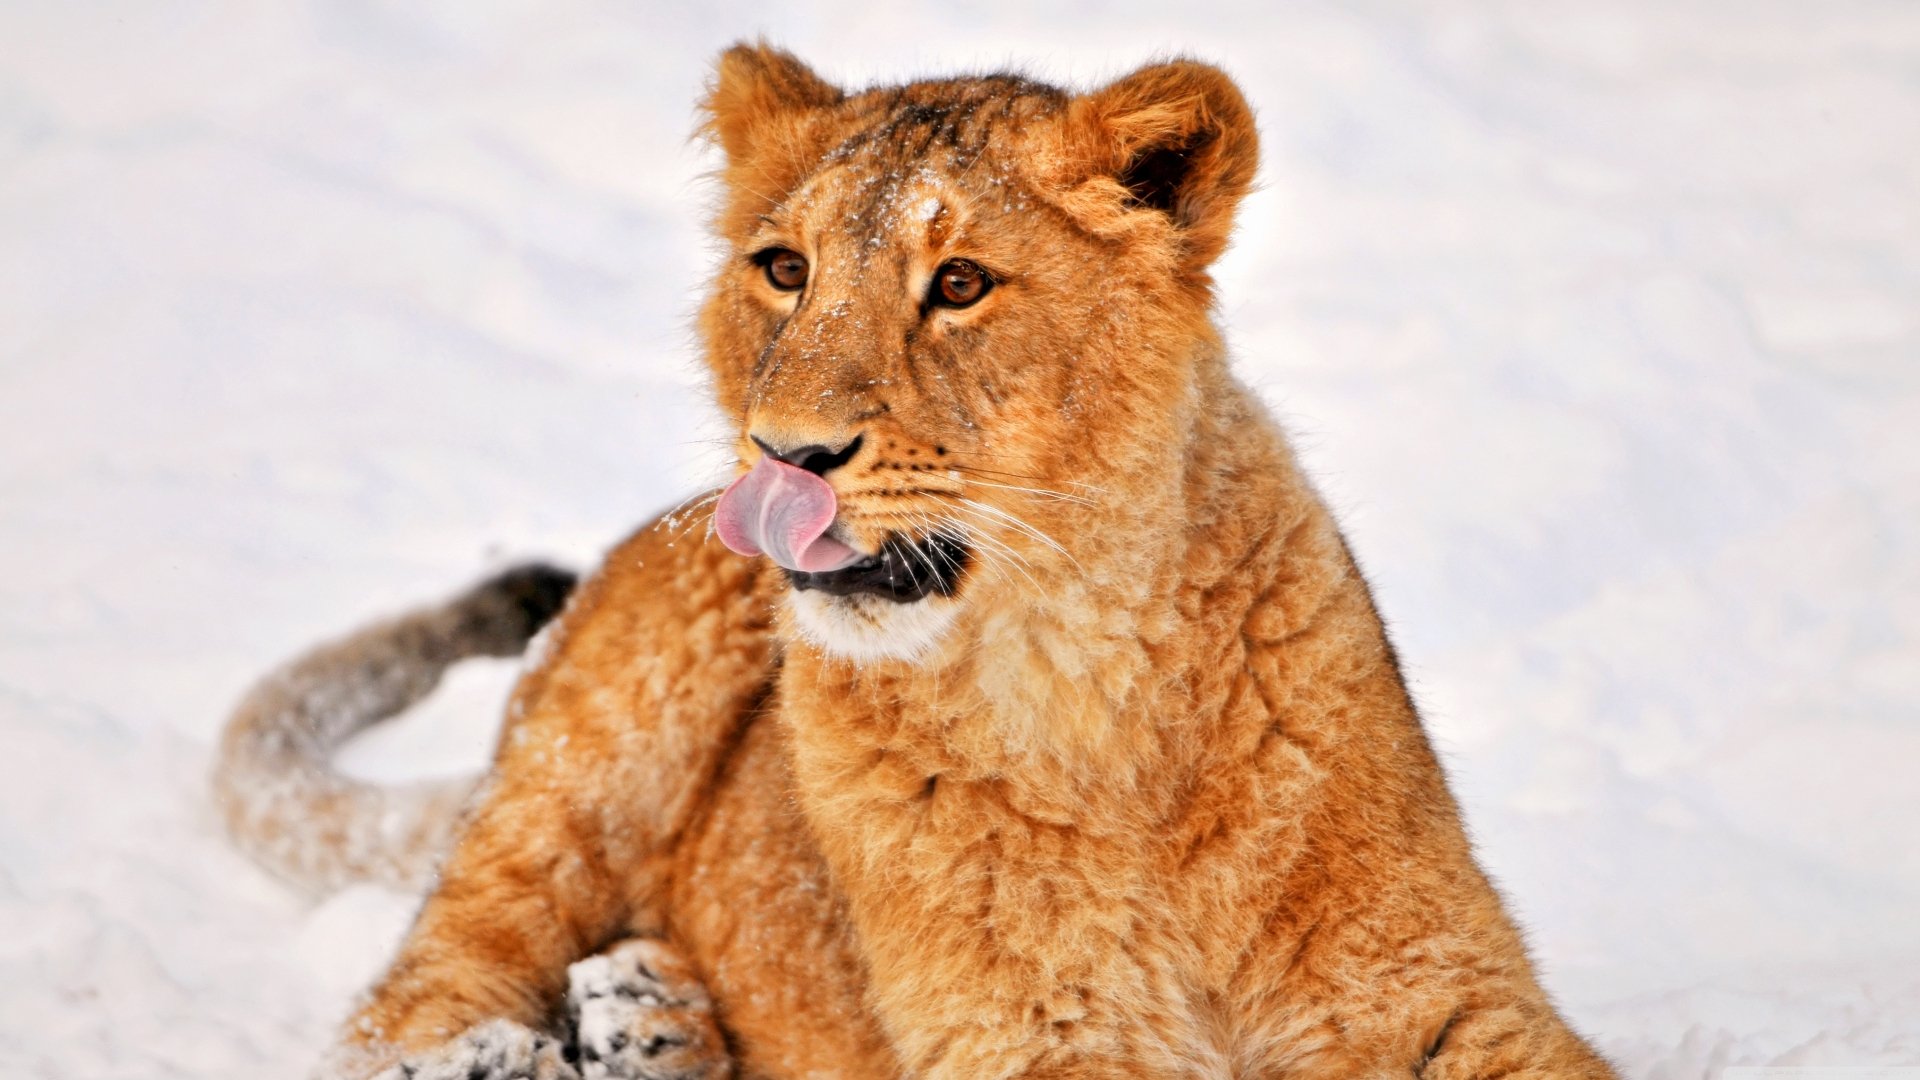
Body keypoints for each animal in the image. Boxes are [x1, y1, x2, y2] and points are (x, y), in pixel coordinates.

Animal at [215, 44, 1619, 1080]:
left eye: (960, 284)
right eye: (785, 270)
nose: (787, 455)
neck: (1088, 683)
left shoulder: (1441, 996)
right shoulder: (1034, 1040)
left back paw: (646, 1019)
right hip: (585, 759)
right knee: (411, 990)